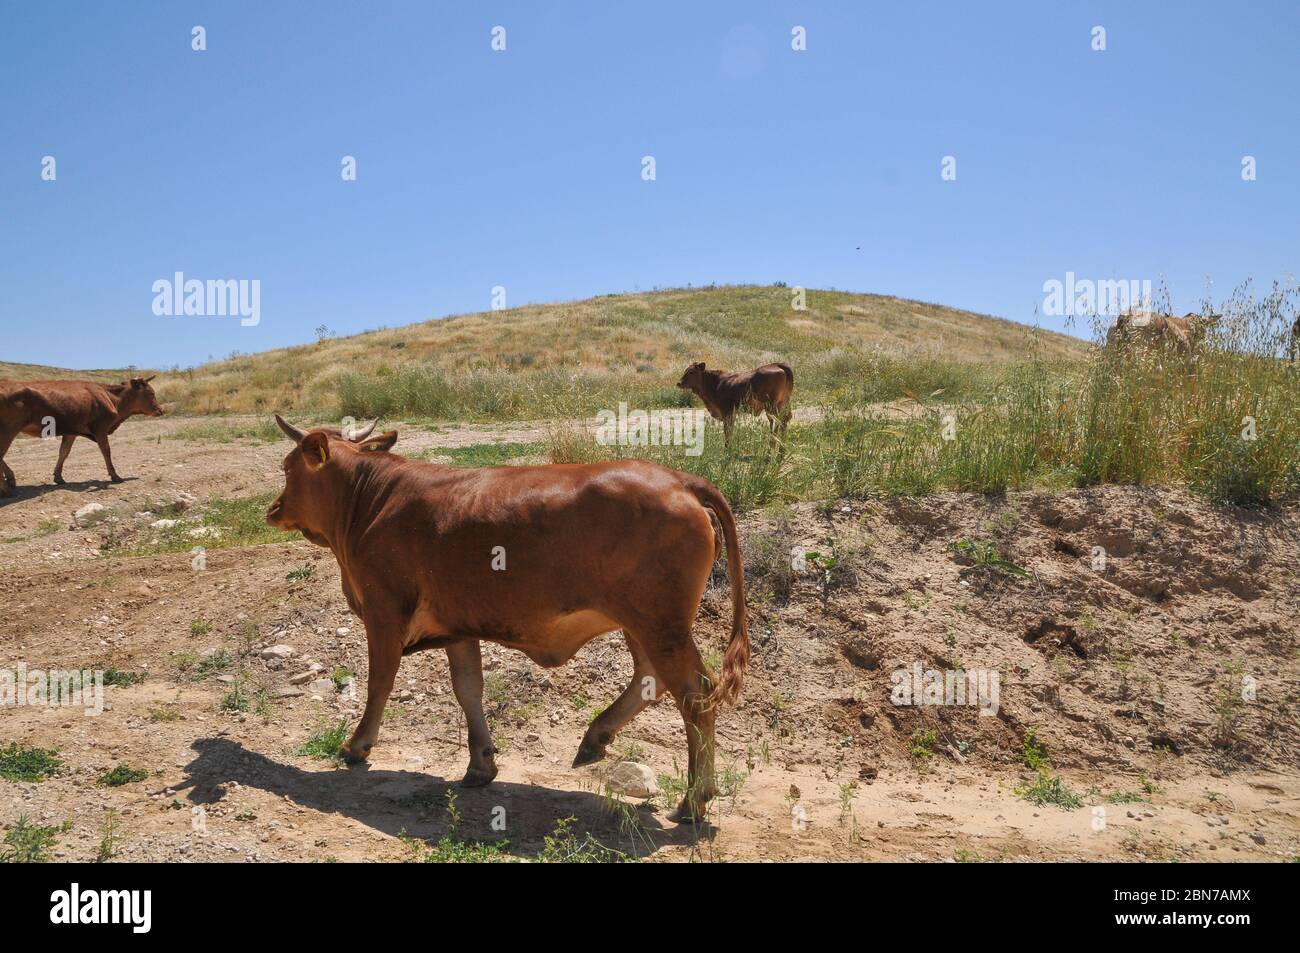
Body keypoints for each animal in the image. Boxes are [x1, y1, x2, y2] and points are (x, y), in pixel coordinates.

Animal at [0, 377, 165, 497]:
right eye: (151, 393)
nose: (161, 410)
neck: (111, 398)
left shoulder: (71, 431)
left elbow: (64, 452)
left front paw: (58, 477)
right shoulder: (101, 428)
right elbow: (106, 451)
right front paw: (115, 476)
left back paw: (10, 479)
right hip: (9, 430)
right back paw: (6, 490)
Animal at [266, 415, 750, 822]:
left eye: (288, 467)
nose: (273, 509)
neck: (370, 499)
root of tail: (678, 479)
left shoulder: (383, 612)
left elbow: (379, 682)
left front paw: (357, 745)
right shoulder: (457, 625)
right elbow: (468, 689)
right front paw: (481, 763)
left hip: (659, 625)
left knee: (695, 695)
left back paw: (693, 801)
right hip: (644, 625)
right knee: (651, 680)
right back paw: (596, 738)